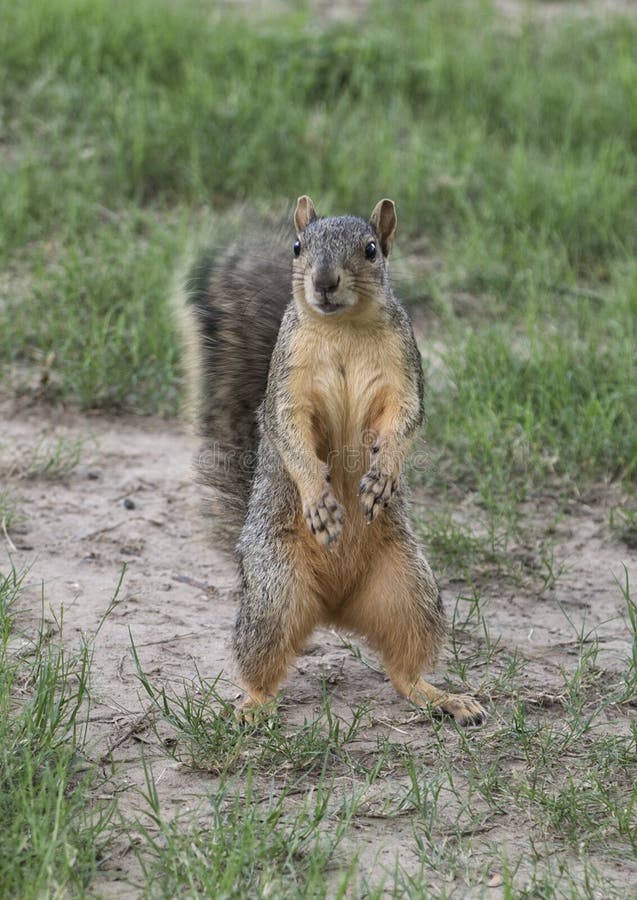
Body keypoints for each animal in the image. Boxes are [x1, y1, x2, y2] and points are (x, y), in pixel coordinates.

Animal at [181, 196, 486, 727]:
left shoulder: (404, 369)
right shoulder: (289, 379)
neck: (342, 327)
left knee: (405, 670)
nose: (323, 280)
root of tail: (333, 609)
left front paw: (382, 475)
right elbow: (290, 431)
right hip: (275, 589)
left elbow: (405, 417)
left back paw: (444, 698)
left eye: (370, 249)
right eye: (297, 246)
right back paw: (252, 706)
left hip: (411, 591)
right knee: (260, 663)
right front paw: (320, 500)